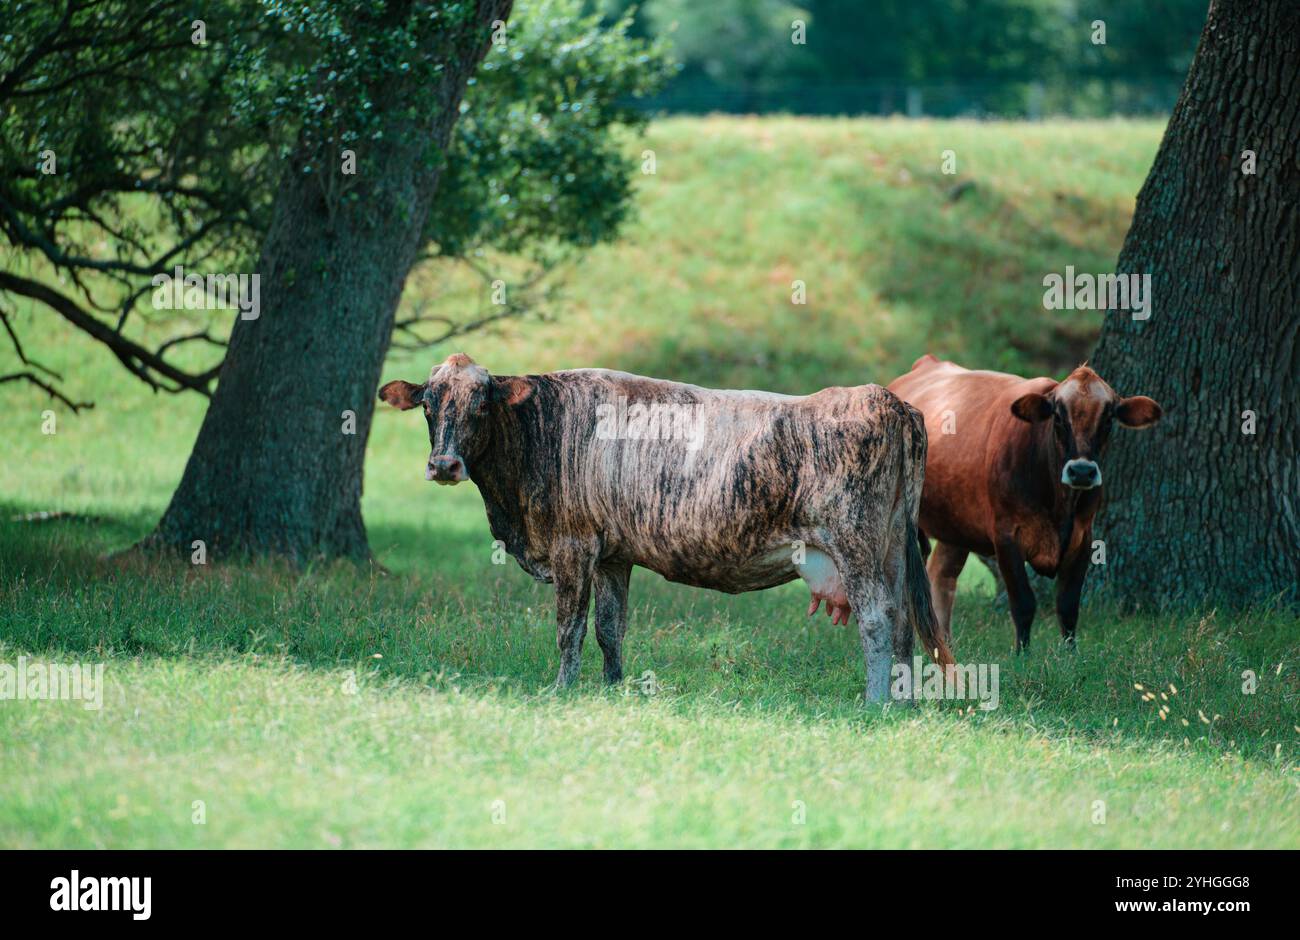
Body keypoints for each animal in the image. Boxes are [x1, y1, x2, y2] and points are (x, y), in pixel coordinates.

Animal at [379, 353, 953, 702]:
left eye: (482, 403)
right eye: (428, 404)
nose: (444, 465)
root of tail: (888, 400)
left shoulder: (572, 546)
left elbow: (570, 628)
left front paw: (562, 690)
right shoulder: (612, 555)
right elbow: (610, 628)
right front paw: (611, 689)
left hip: (857, 543)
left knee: (878, 619)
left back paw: (874, 703)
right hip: (891, 549)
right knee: (904, 620)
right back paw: (902, 703)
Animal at [887, 354, 1162, 652]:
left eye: (1109, 419)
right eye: (1058, 418)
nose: (1081, 471)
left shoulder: (1084, 536)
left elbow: (1068, 605)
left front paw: (1070, 653)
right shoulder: (1006, 535)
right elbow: (1023, 602)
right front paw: (1023, 653)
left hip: (955, 527)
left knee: (941, 575)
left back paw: (944, 644)